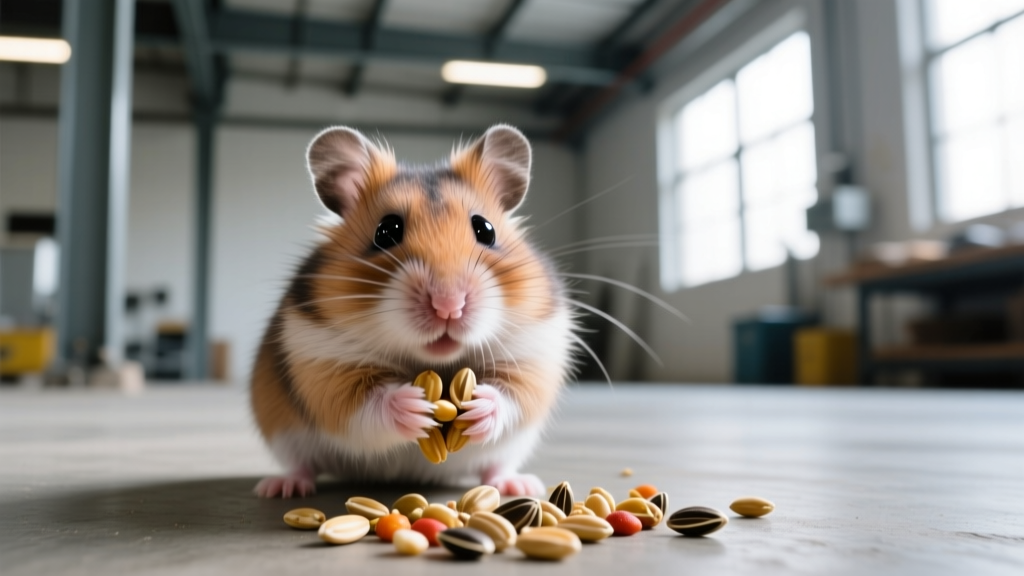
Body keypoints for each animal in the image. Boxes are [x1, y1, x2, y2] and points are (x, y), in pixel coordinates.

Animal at [250, 124, 575, 498]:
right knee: (302, 464)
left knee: (496, 465)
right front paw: (417, 406)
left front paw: (476, 405)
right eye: (386, 231)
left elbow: (513, 397)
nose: (448, 305)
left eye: (486, 229)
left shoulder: (534, 353)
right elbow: (361, 406)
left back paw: (519, 486)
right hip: (284, 430)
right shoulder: (322, 364)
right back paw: (281, 487)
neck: (431, 360)